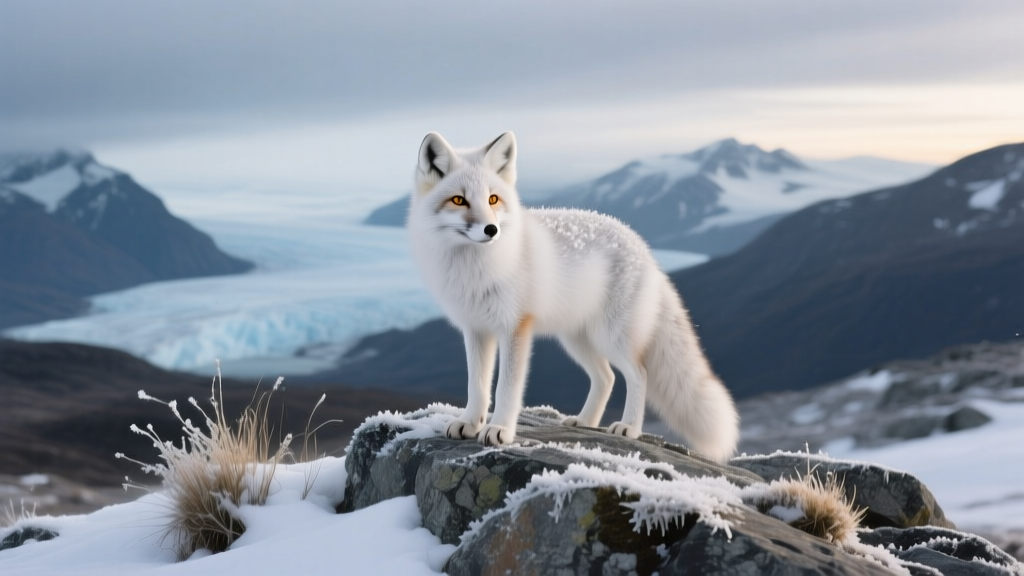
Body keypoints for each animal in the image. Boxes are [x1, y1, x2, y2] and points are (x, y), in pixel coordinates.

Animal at [407, 131, 739, 462]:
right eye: (458, 200)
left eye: (493, 199)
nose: (492, 229)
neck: (476, 267)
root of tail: (644, 249)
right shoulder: (476, 329)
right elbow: (476, 385)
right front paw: (469, 423)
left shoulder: (515, 327)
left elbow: (506, 388)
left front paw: (499, 429)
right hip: (577, 340)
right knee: (607, 378)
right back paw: (586, 422)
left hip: (611, 337)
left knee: (639, 374)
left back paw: (629, 428)